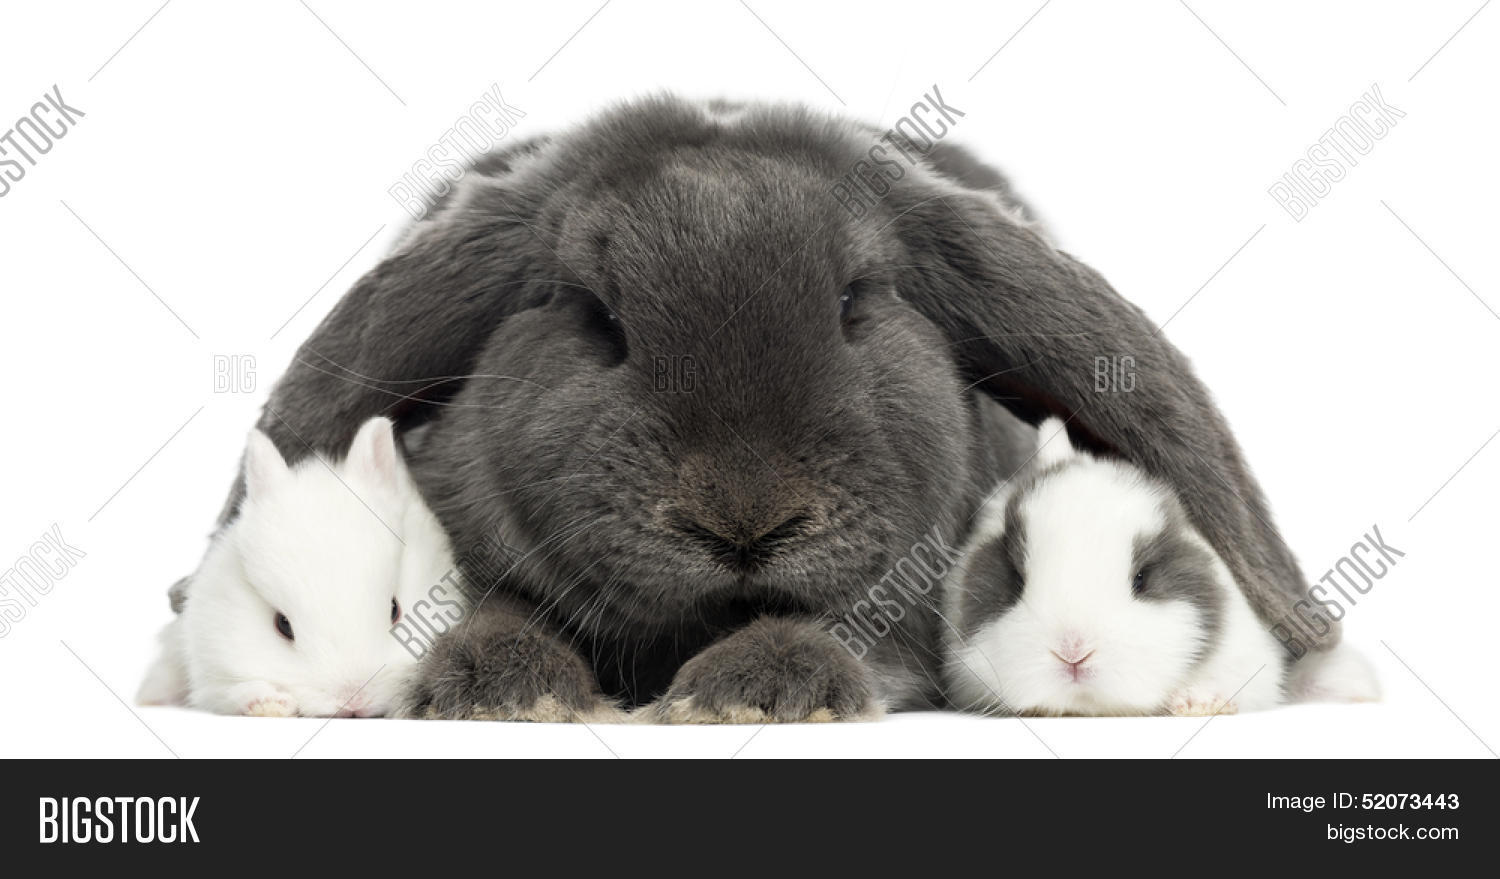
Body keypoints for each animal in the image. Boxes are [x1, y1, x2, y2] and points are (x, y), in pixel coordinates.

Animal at [138, 418, 458, 717]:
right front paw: (266, 702)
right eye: (282, 625)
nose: (352, 701)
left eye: (395, 609)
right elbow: (227, 692)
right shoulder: (211, 667)